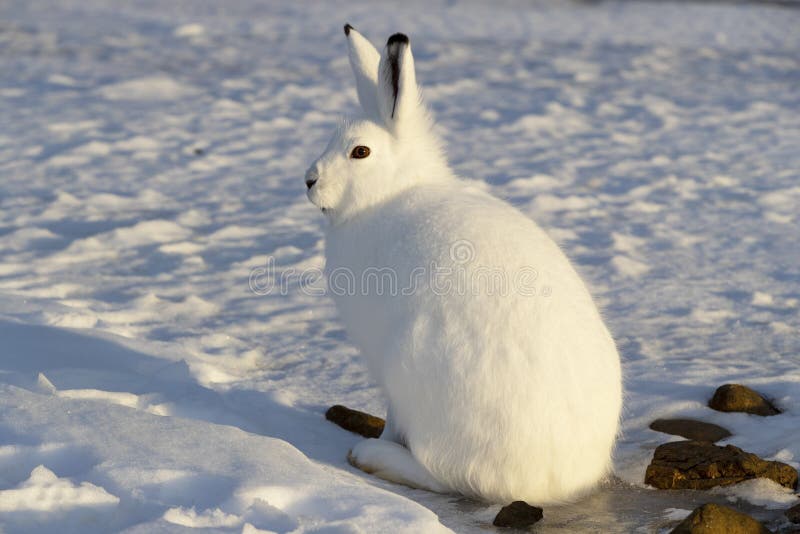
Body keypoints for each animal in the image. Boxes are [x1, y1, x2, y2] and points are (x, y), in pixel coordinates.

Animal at [304, 24, 622, 505]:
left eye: (360, 152)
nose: (309, 181)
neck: (389, 194)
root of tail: (550, 483)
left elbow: (393, 420)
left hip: (413, 362)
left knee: (449, 477)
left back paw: (372, 456)